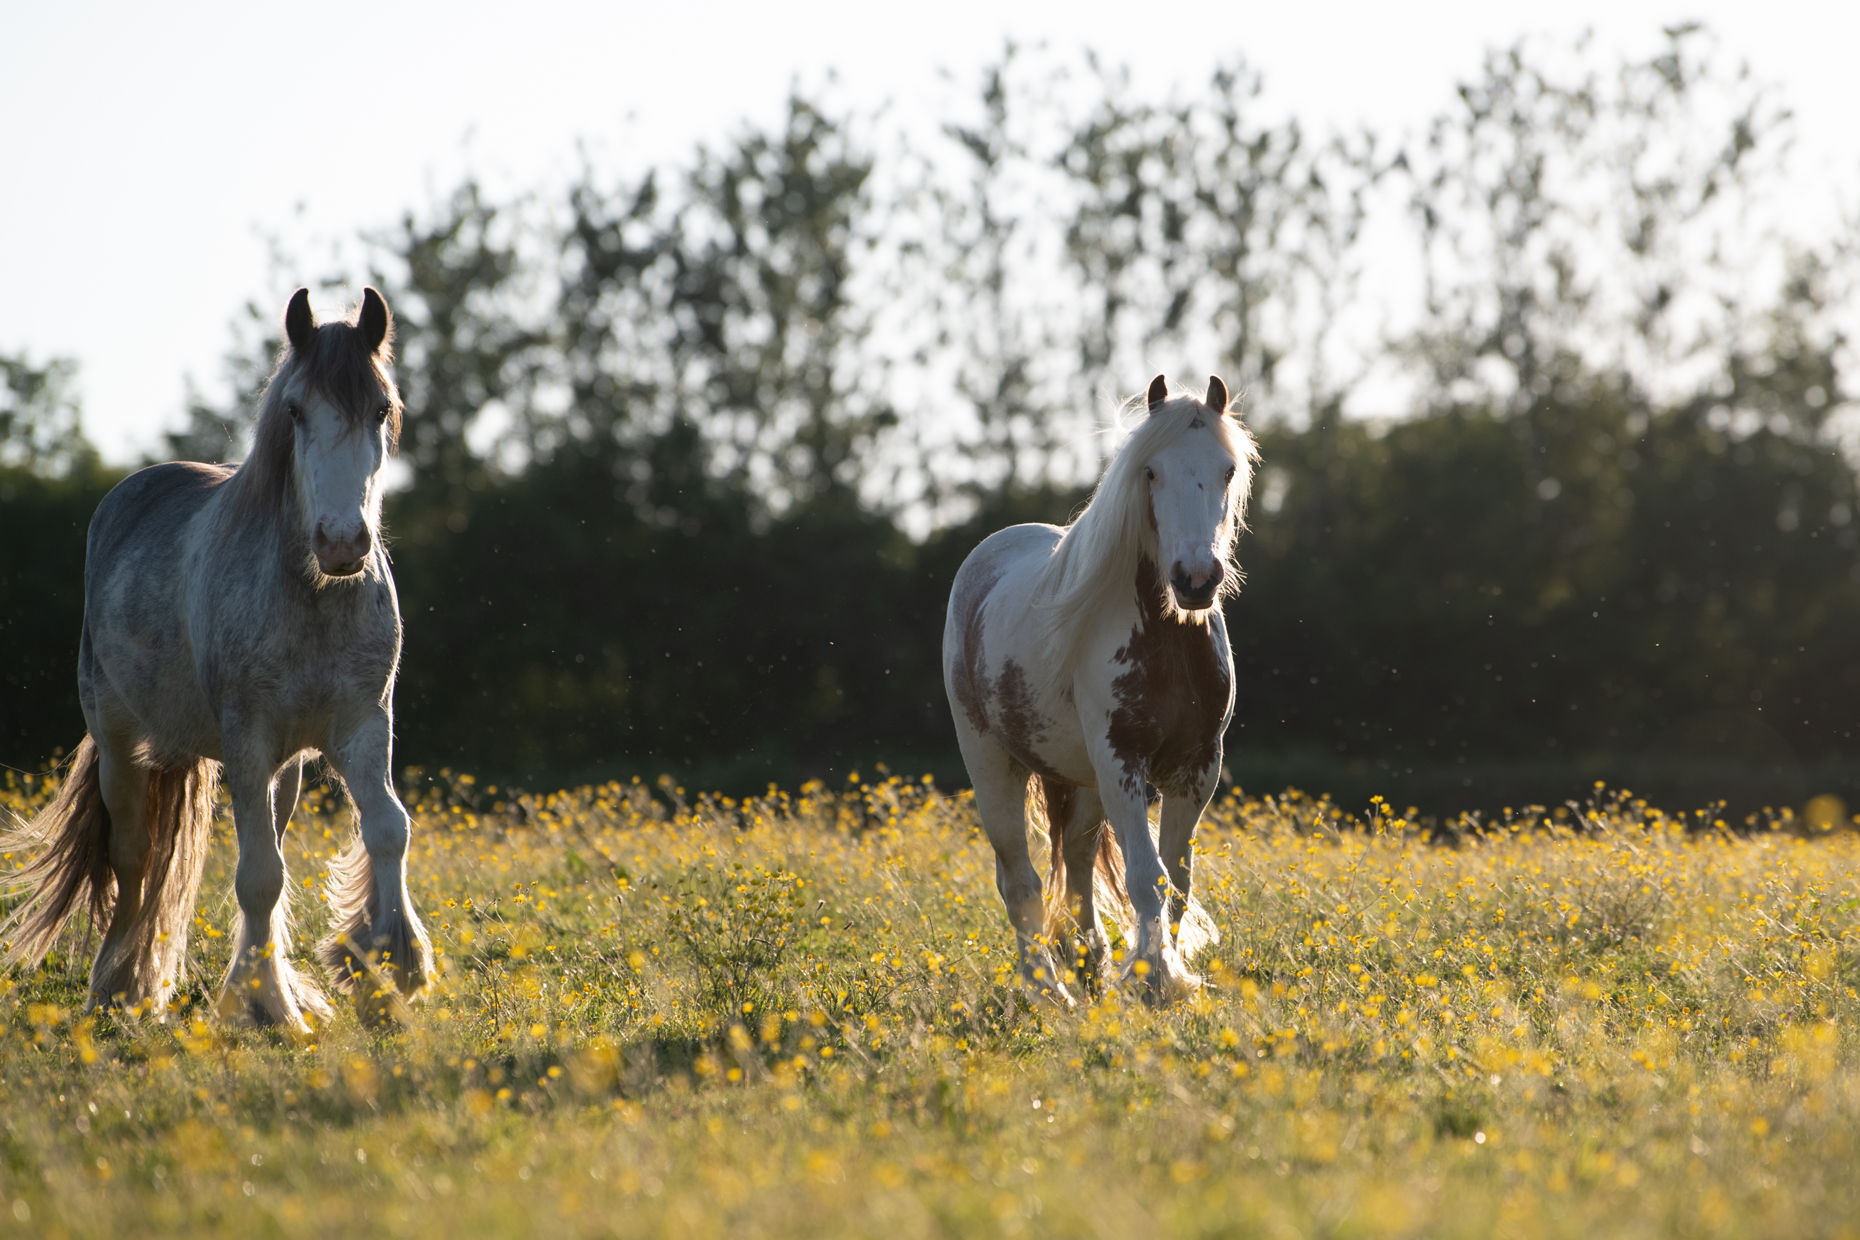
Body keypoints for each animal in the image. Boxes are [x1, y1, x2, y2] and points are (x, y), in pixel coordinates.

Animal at [1, 287, 433, 1032]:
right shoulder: (247, 740)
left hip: (283, 770)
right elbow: (258, 874)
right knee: (134, 858)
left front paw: (384, 966)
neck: (313, 598)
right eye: (295, 410)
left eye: (381, 408)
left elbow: (386, 828)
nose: (342, 543)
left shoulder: (362, 726)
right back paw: (118, 985)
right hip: (122, 746)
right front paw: (268, 1005)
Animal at [942, 375, 1258, 1006]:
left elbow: (1177, 879)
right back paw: (1048, 991)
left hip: (1082, 782)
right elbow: (1146, 877)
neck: (1166, 643)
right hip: (992, 764)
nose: (1196, 579)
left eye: (1227, 469)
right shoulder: (1121, 762)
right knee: (1019, 880)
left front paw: (1155, 974)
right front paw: (1156, 978)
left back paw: (1090, 968)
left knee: (1079, 864)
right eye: (1151, 471)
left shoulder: (1197, 769)